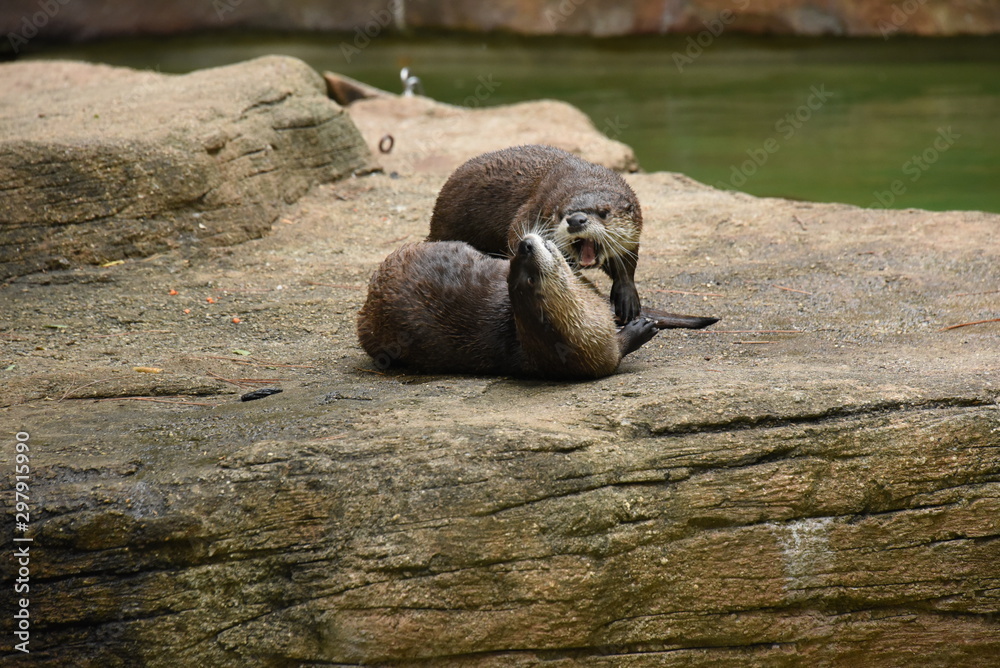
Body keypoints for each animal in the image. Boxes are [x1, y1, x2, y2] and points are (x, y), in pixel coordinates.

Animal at [357, 234, 660, 380]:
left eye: (513, 260)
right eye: (530, 276)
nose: (524, 245)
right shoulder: (598, 355)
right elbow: (618, 352)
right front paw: (641, 328)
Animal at [427, 144, 717, 330]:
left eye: (603, 212)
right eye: (564, 214)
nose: (577, 219)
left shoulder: (632, 238)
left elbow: (627, 264)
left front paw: (627, 297)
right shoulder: (533, 209)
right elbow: (515, 236)